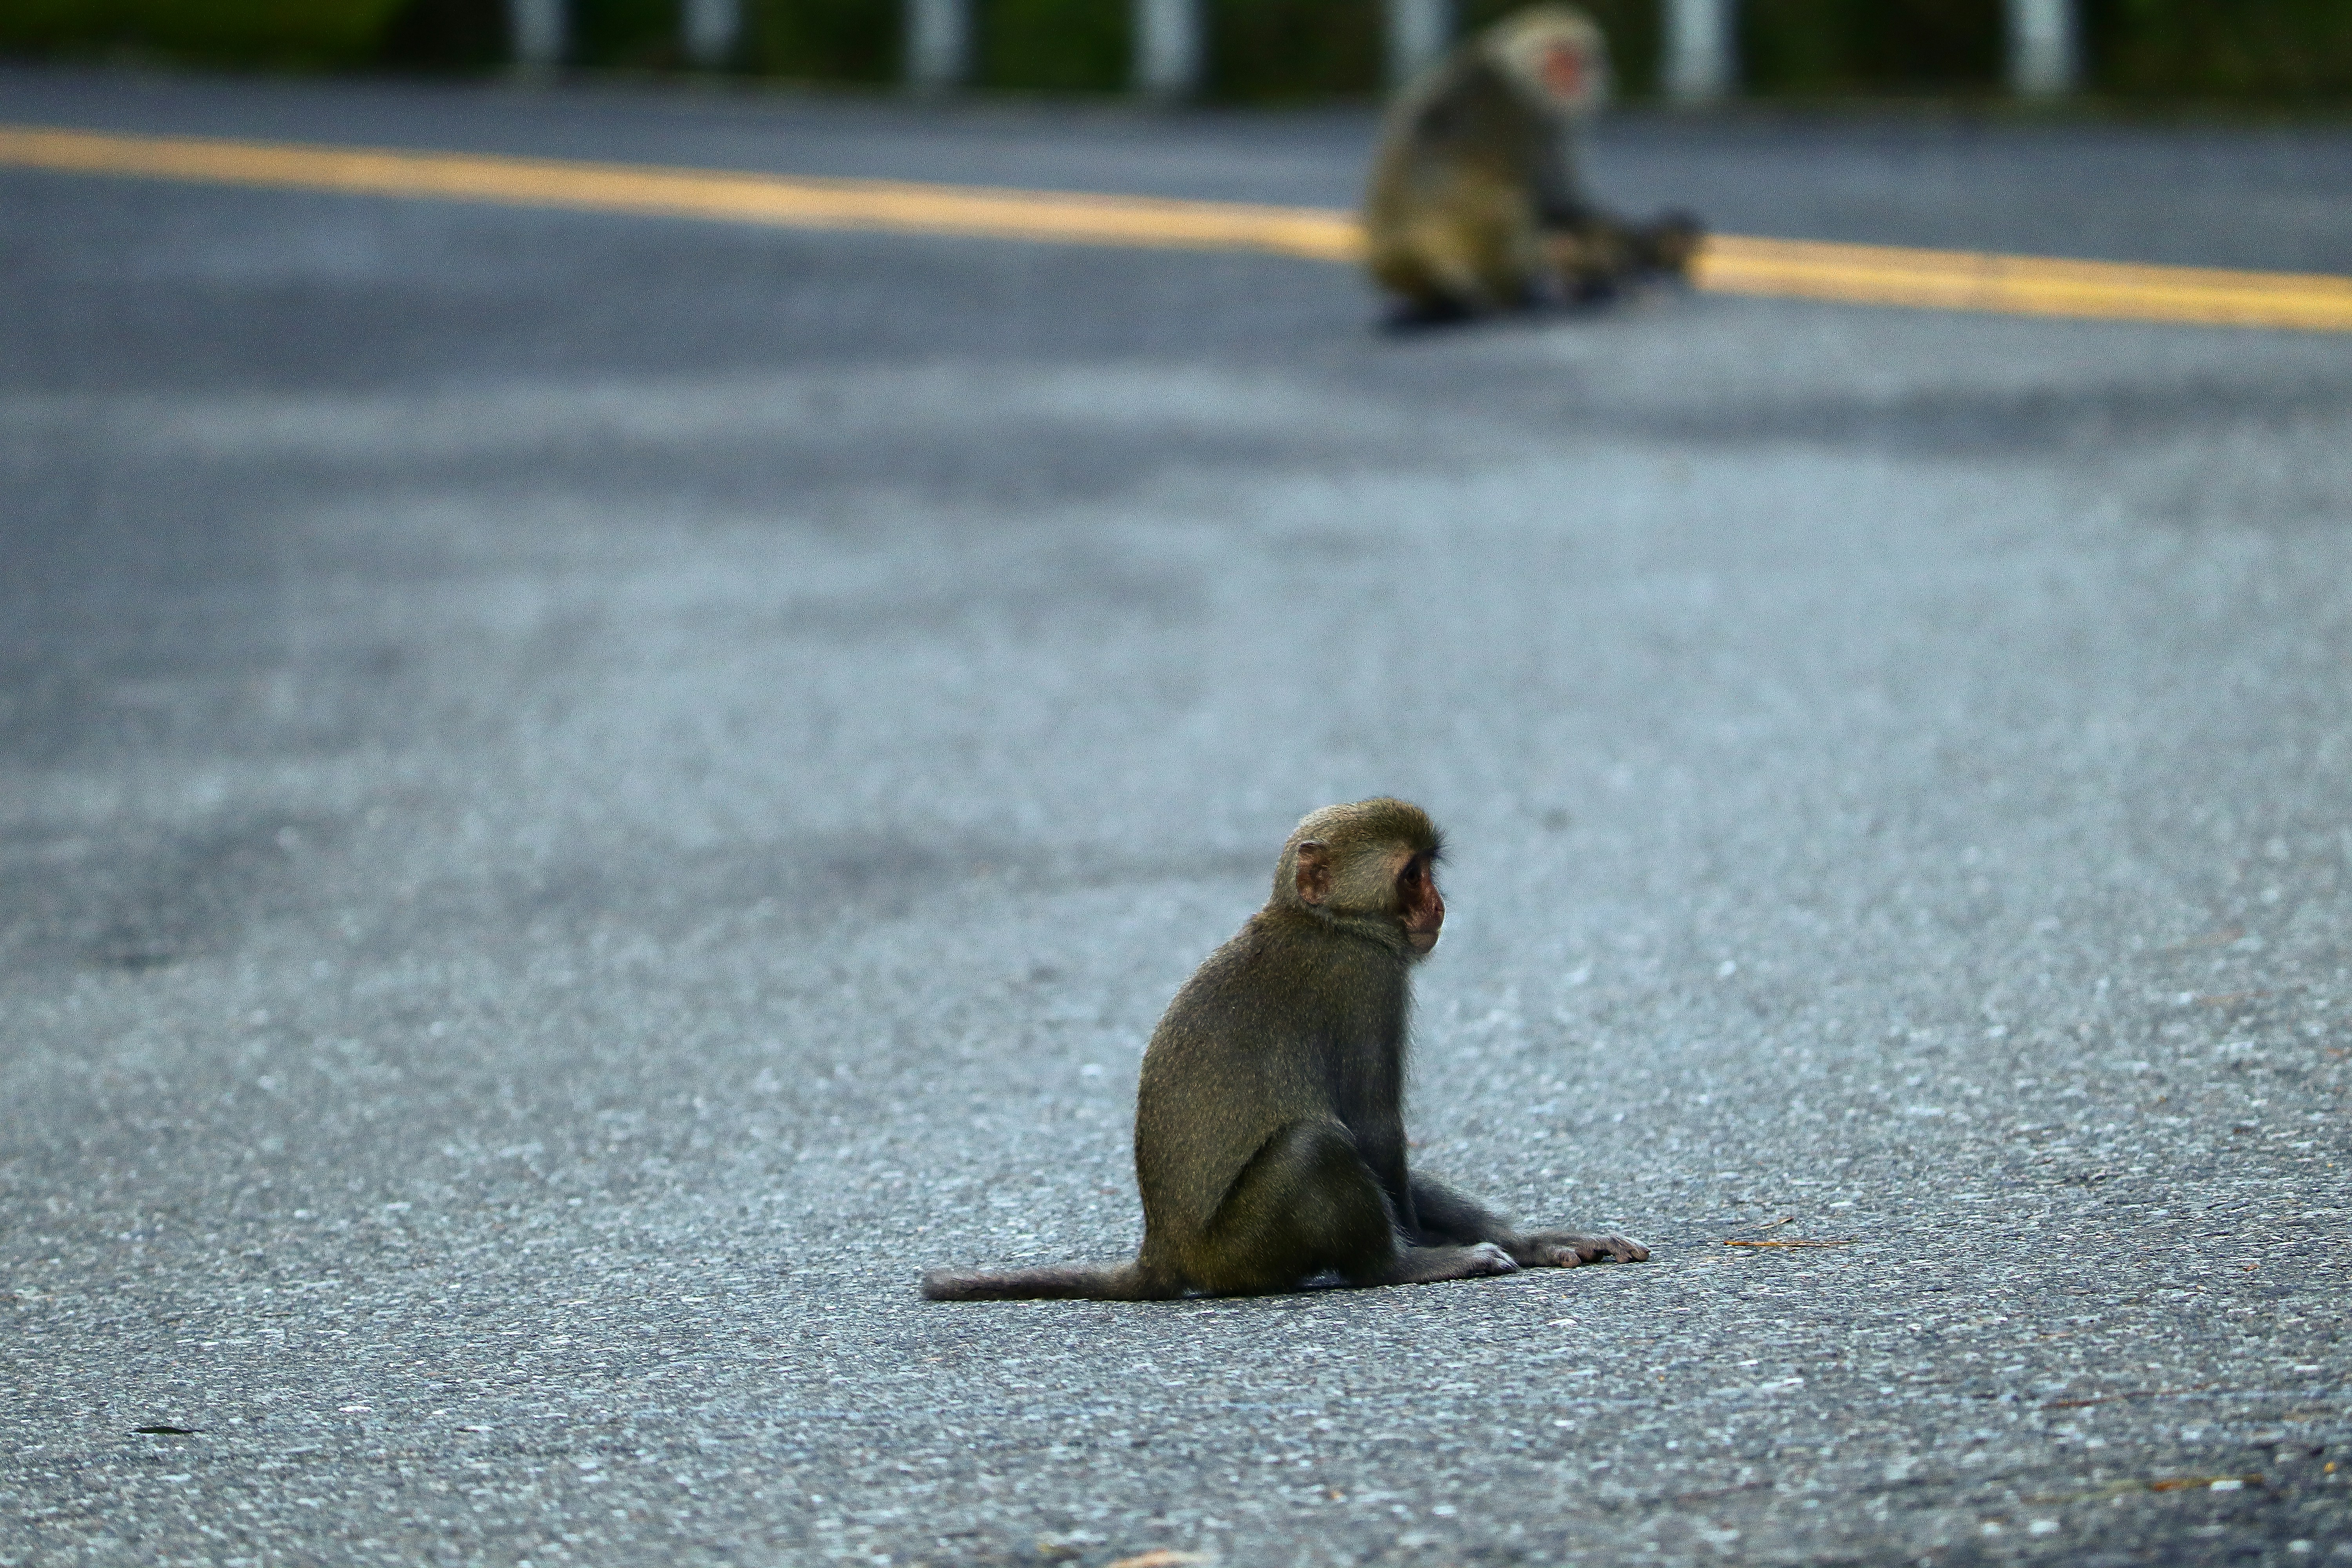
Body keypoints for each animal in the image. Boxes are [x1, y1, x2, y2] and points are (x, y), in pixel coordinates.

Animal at [921, 798, 1647, 1301]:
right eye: (1412, 875)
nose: (1437, 907)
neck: (1322, 920)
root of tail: (1163, 1250)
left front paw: (1527, 1239)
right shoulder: (1365, 980)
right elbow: (1375, 1125)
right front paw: (1420, 1246)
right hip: (1240, 1253)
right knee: (1316, 1147)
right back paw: (1403, 1264)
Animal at [1361, 4, 1704, 321]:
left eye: (1580, 59)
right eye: (1557, 60)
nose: (1575, 77)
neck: (1514, 75)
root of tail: (1408, 262)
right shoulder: (1536, 124)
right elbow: (1560, 205)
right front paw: (1652, 246)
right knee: (1515, 210)